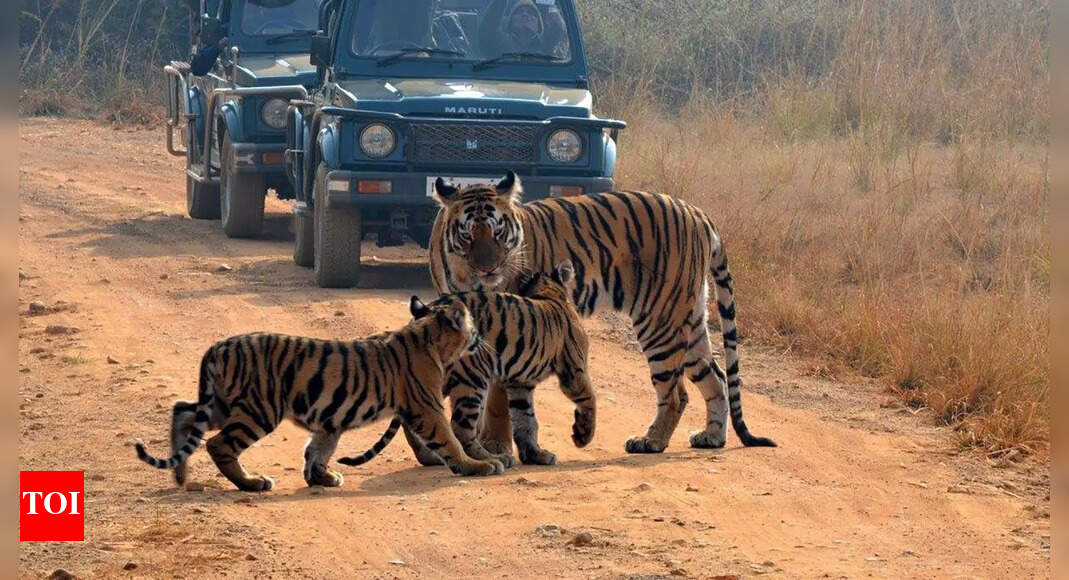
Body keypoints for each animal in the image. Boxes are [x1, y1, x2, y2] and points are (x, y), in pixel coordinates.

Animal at [134, 300, 505, 492]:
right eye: (473, 326)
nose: (481, 338)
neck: (430, 336)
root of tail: (219, 345)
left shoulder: (331, 418)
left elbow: (318, 449)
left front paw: (322, 477)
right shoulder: (427, 407)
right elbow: (450, 440)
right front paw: (478, 465)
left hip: (224, 404)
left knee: (183, 411)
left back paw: (181, 475)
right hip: (258, 409)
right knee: (218, 444)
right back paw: (252, 483)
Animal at [340, 260, 595, 468]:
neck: (549, 293)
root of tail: (424, 313)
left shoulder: (520, 383)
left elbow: (526, 419)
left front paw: (535, 455)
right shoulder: (574, 368)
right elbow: (590, 400)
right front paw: (583, 436)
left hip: (436, 377)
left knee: (416, 421)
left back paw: (432, 458)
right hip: (472, 378)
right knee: (459, 427)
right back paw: (492, 460)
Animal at [429, 172, 776, 456]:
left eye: (498, 233)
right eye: (468, 235)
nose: (490, 268)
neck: (469, 276)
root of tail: (697, 212)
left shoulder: (511, 326)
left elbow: (498, 394)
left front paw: (494, 444)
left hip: (661, 320)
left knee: (675, 393)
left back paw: (651, 442)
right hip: (690, 322)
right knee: (716, 377)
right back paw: (711, 437)